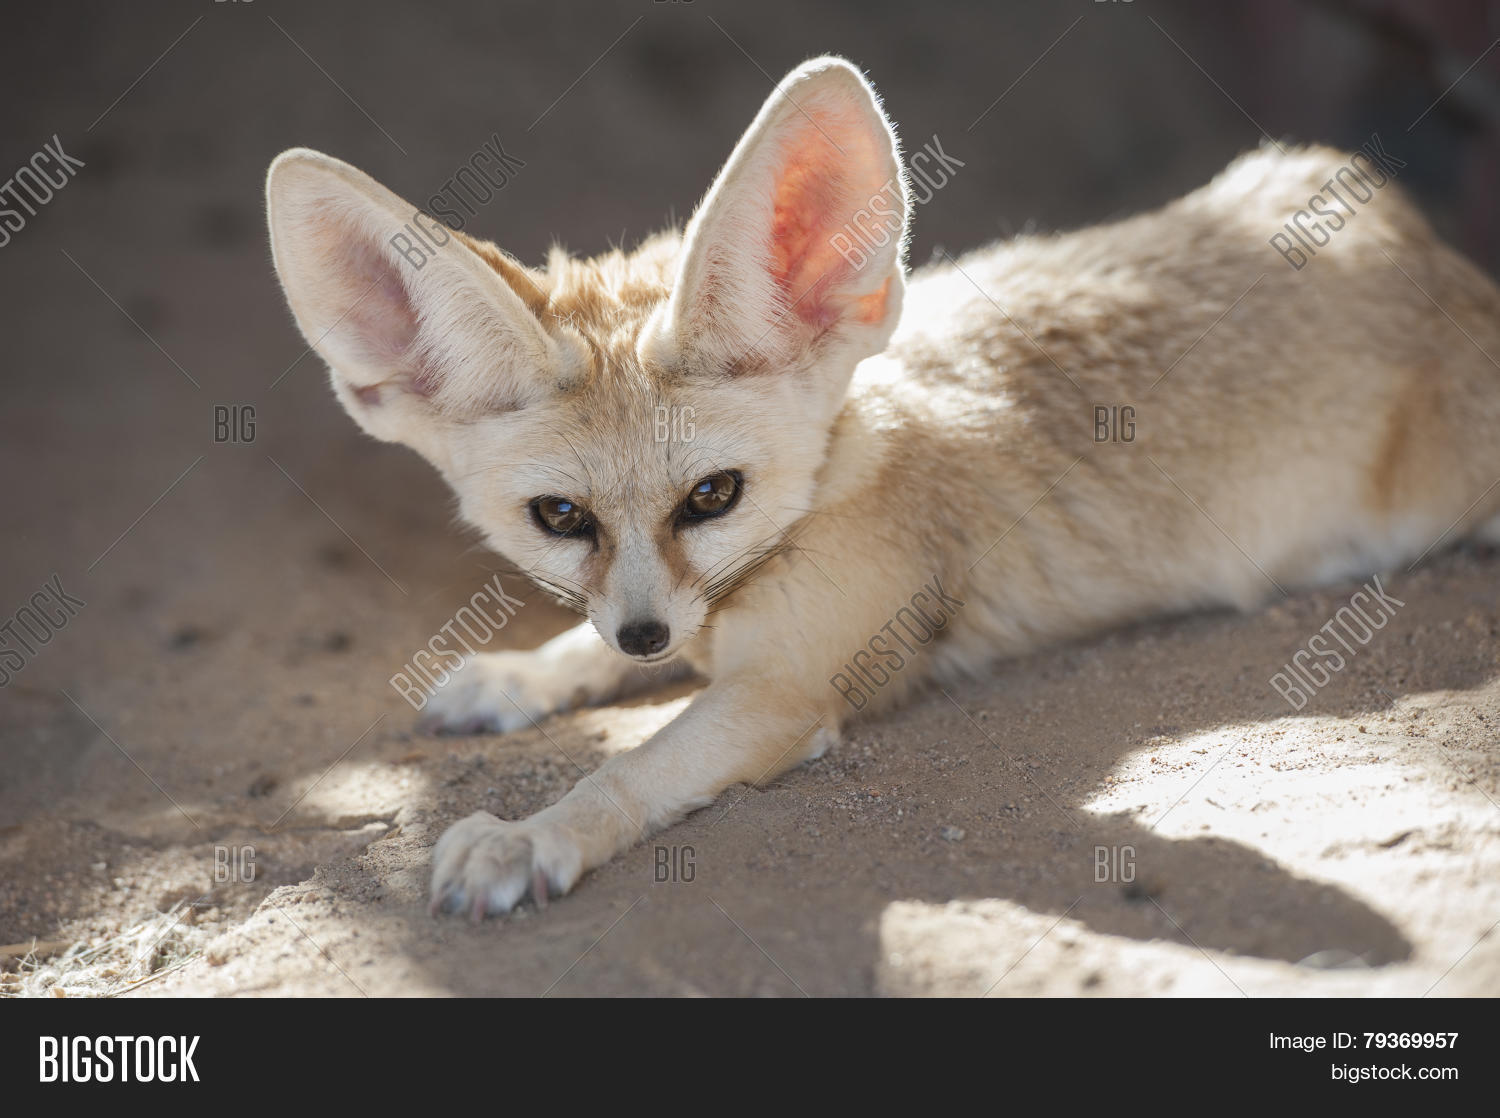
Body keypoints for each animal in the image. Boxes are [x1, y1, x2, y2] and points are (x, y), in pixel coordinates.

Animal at [266, 56, 1500, 921]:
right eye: (560, 518)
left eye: (713, 496)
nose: (647, 636)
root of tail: (1435, 256)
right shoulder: (676, 627)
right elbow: (593, 651)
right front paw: (525, 674)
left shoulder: (782, 694)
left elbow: (633, 768)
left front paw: (532, 832)